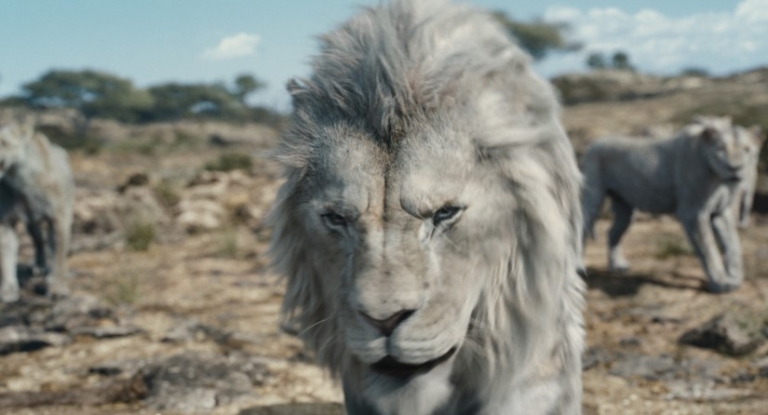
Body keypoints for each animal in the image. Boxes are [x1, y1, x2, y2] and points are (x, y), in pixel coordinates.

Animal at [0, 121, 74, 302]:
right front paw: (8, 290)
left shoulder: (59, 220)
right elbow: (6, 254)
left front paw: (58, 288)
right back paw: (40, 267)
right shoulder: (6, 221)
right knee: (39, 241)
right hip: (31, 223)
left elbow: (59, 255)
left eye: (3, 142)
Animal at [581, 116, 751, 293]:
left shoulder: (720, 211)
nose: (735, 168)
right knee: (582, 228)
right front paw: (721, 283)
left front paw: (735, 279)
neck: (718, 177)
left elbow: (733, 245)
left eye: (747, 149)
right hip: (593, 197)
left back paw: (617, 266)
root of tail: (593, 143)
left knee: (612, 232)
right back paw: (579, 267)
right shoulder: (693, 213)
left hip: (625, 210)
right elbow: (708, 248)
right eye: (721, 149)